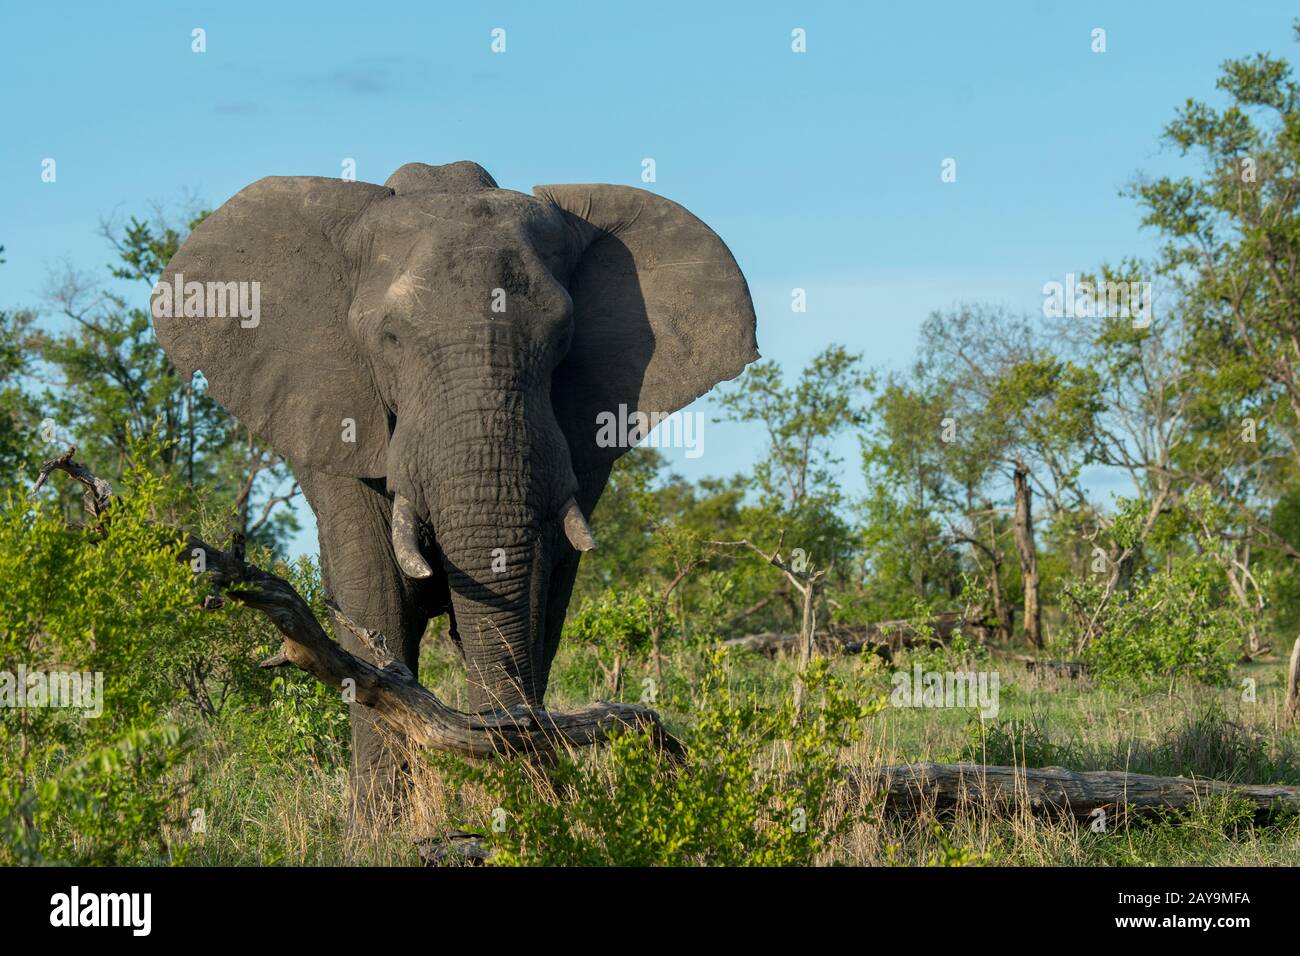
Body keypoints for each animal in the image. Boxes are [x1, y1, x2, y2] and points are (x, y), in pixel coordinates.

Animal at [152, 160, 758, 814]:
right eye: (389, 338)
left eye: (563, 336)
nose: (506, 752)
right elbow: (376, 599)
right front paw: (382, 828)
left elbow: (536, 591)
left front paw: (533, 809)